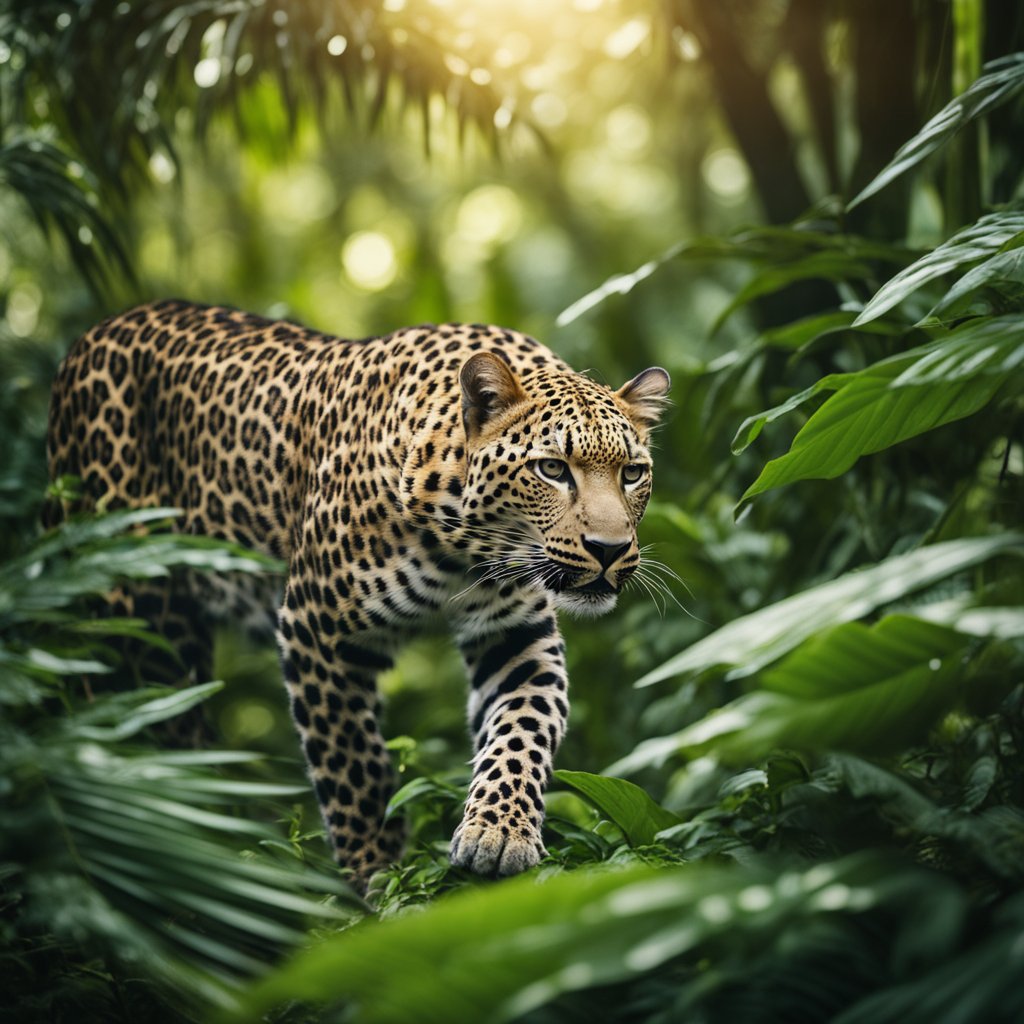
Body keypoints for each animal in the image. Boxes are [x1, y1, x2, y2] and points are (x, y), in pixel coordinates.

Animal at [46, 299, 670, 886]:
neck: (464, 545)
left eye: (633, 473)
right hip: (137, 614)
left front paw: (498, 832)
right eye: (552, 469)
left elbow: (523, 729)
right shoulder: (314, 629)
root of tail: (96, 333)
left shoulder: (513, 633)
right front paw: (379, 876)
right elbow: (354, 766)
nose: (610, 549)